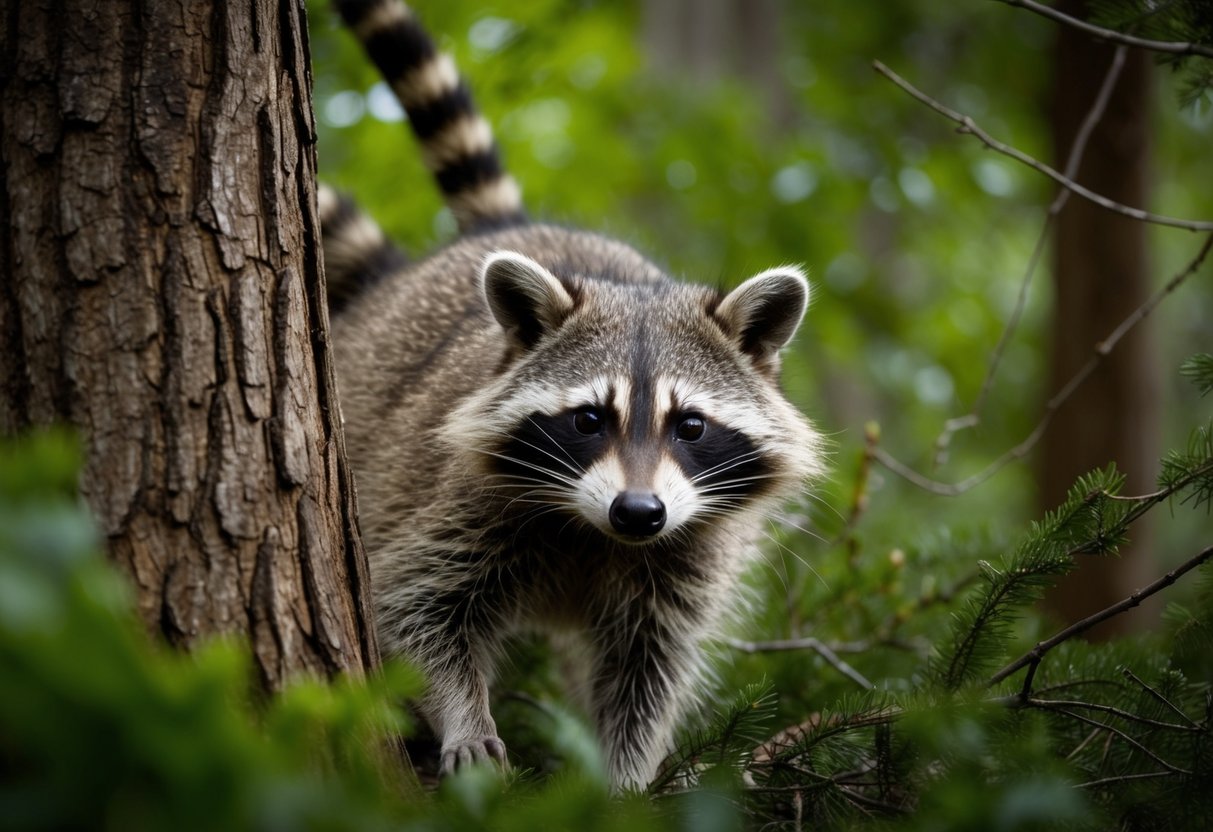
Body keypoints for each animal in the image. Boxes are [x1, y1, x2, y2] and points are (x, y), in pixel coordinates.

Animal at [323, 0, 825, 790]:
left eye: (690, 425)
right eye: (589, 419)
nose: (639, 512)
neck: (597, 533)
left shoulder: (686, 560)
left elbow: (649, 672)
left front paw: (625, 779)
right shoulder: (456, 501)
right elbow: (414, 606)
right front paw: (464, 716)